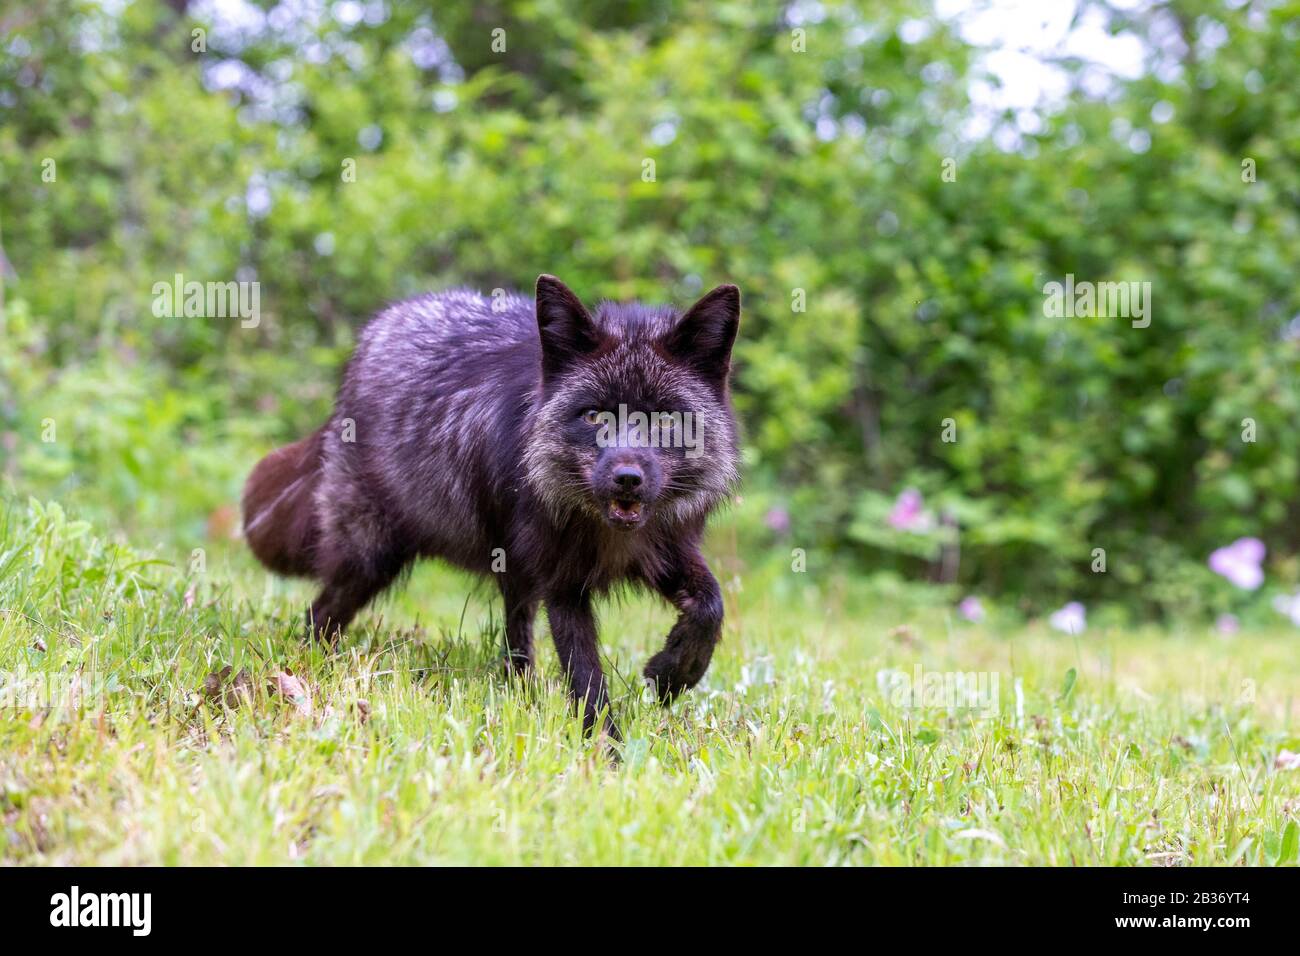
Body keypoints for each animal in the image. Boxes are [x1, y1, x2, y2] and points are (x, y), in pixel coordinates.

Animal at [241, 274, 741, 738]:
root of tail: (376, 332)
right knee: (319, 615)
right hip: (368, 559)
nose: (628, 478)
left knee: (516, 638)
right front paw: (607, 750)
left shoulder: (668, 546)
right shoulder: (562, 583)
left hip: (510, 568)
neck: (609, 535)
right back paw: (307, 667)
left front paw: (672, 675)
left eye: (667, 420)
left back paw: (522, 693)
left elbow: (711, 605)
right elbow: (586, 679)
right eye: (594, 415)